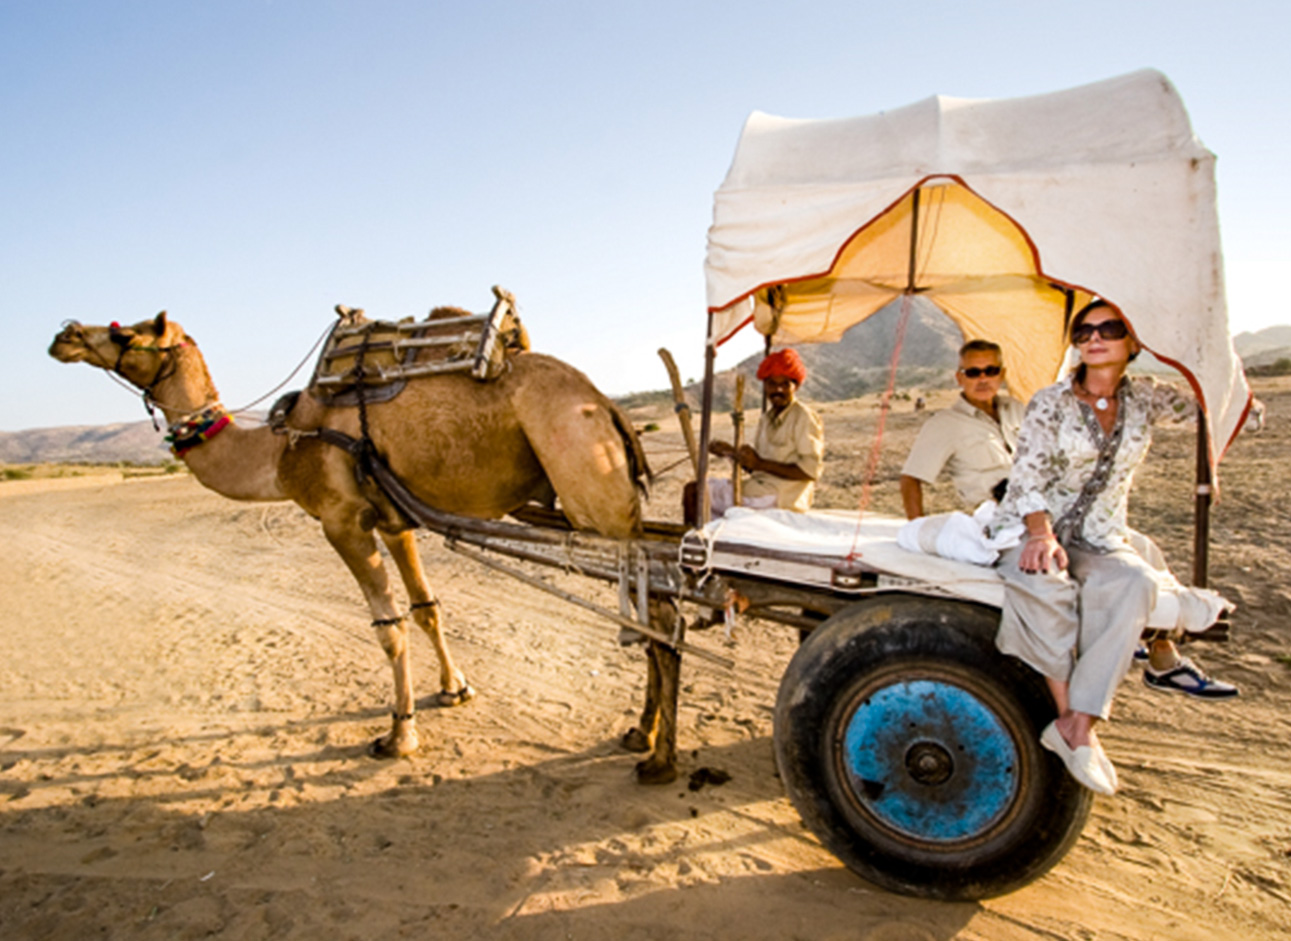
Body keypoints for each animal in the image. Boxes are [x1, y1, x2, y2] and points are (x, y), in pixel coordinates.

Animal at [46, 305, 681, 779]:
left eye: (124, 331)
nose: (63, 334)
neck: (280, 450)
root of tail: (607, 407)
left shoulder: (342, 519)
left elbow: (388, 628)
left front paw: (398, 736)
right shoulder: (393, 520)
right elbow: (425, 608)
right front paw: (454, 690)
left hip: (589, 488)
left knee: (660, 612)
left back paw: (657, 755)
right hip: (609, 503)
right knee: (657, 603)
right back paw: (641, 734)